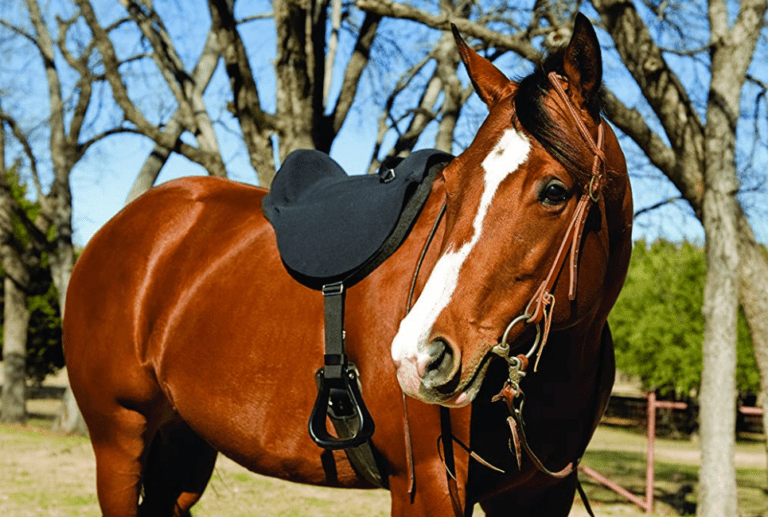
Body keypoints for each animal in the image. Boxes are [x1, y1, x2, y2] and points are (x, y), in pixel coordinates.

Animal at [63, 13, 632, 517]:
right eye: (453, 184)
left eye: (555, 191)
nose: (419, 356)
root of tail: (120, 228)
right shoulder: (427, 486)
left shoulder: (540, 496)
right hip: (119, 442)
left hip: (183, 443)